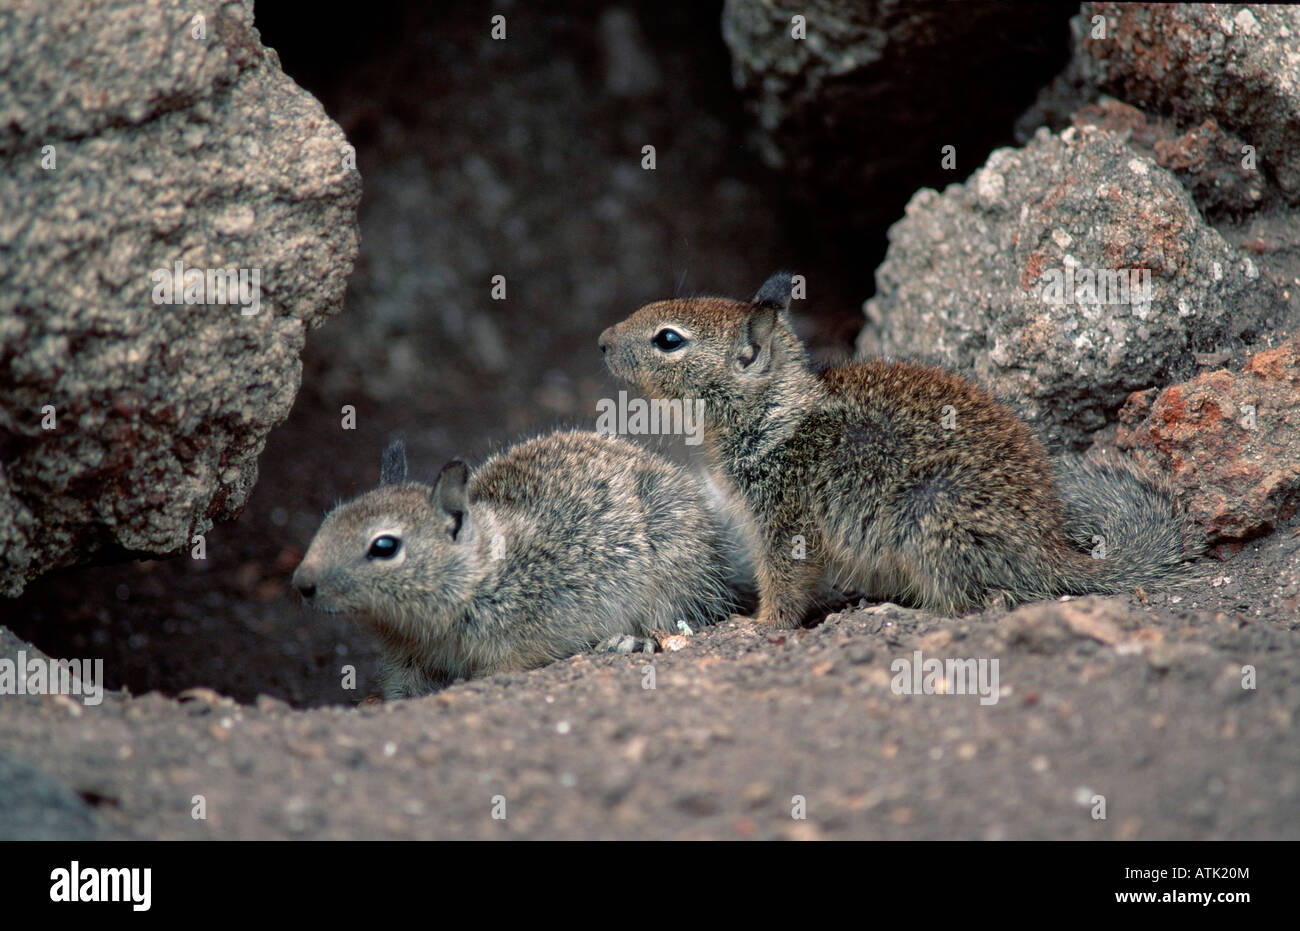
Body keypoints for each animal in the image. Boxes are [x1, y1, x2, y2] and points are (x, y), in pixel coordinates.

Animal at [292, 430, 741, 698]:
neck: (479, 577)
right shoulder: (405, 660)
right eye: (329, 519)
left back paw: (629, 642)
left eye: (384, 546)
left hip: (673, 581)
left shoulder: (512, 652)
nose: (302, 583)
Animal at [598, 271, 1195, 628]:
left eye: (668, 339)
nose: (602, 341)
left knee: (972, 600)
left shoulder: (786, 522)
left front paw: (762, 624)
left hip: (930, 516)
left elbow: (786, 582)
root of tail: (1046, 547)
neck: (775, 412)